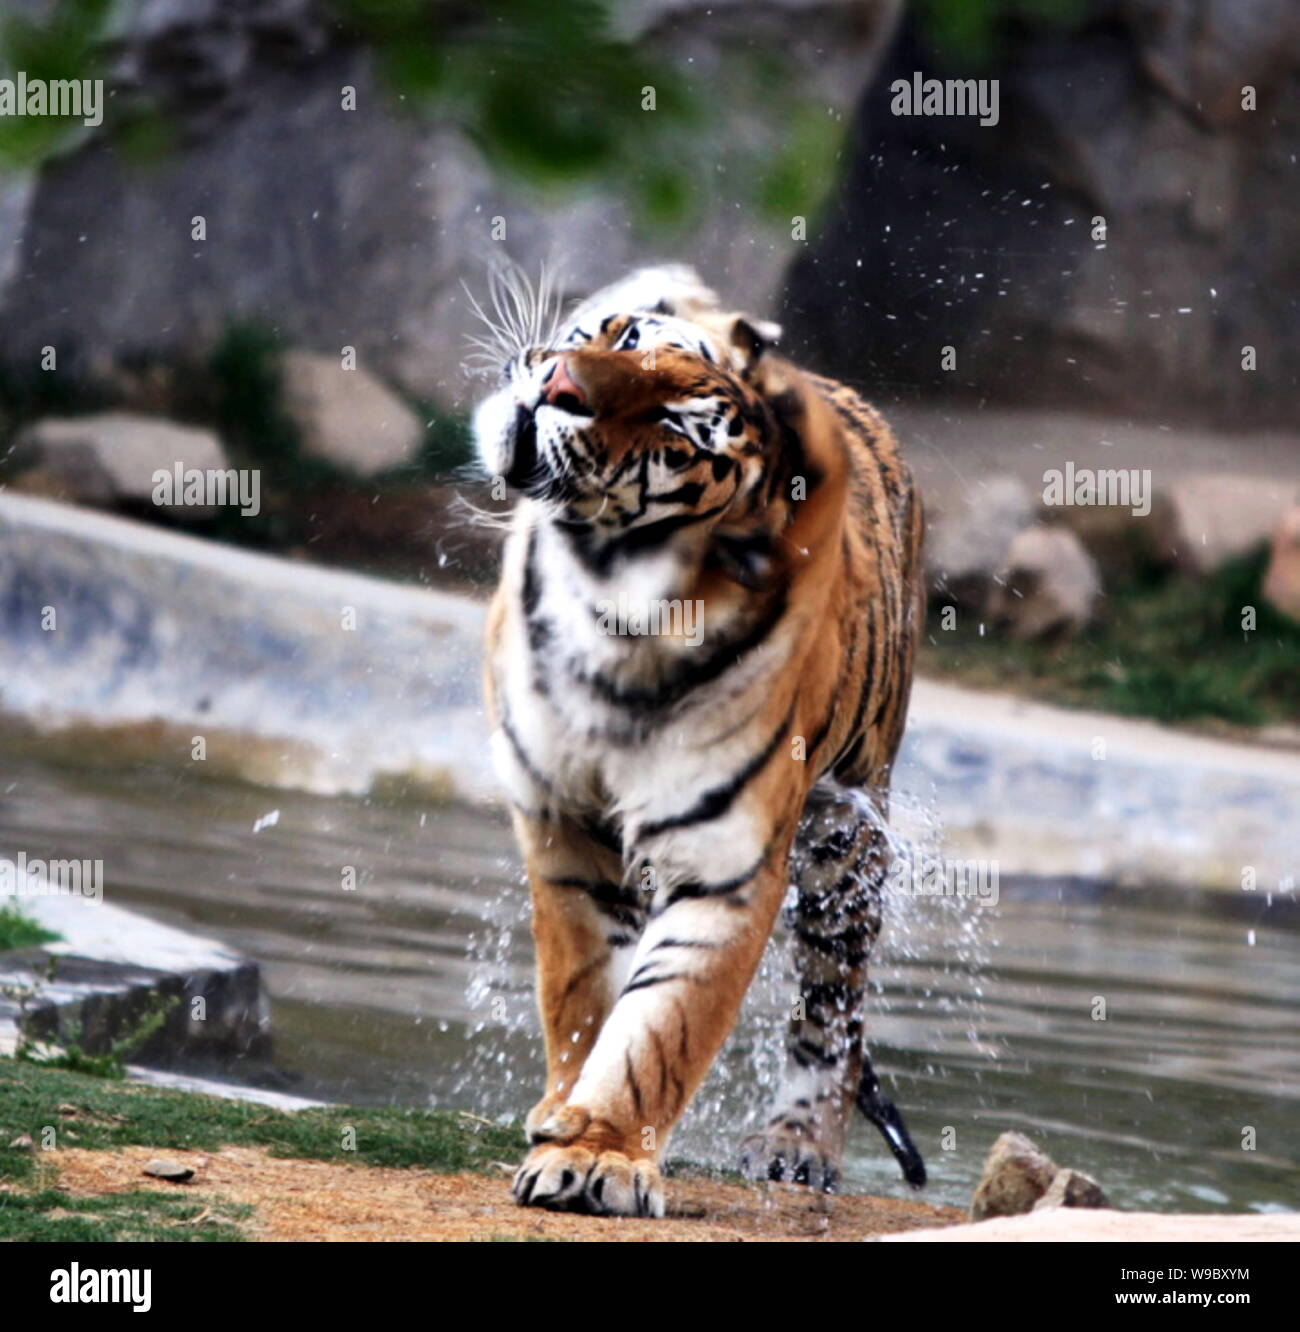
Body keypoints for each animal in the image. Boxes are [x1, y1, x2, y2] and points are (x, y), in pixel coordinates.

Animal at [472, 264, 927, 1217]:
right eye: (623, 339)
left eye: (674, 432)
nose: (557, 386)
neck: (608, 608)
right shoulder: (562, 825)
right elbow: (583, 993)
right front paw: (565, 1114)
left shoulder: (727, 864)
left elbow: (660, 1029)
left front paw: (601, 1156)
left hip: (850, 839)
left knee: (831, 1016)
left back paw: (796, 1148)